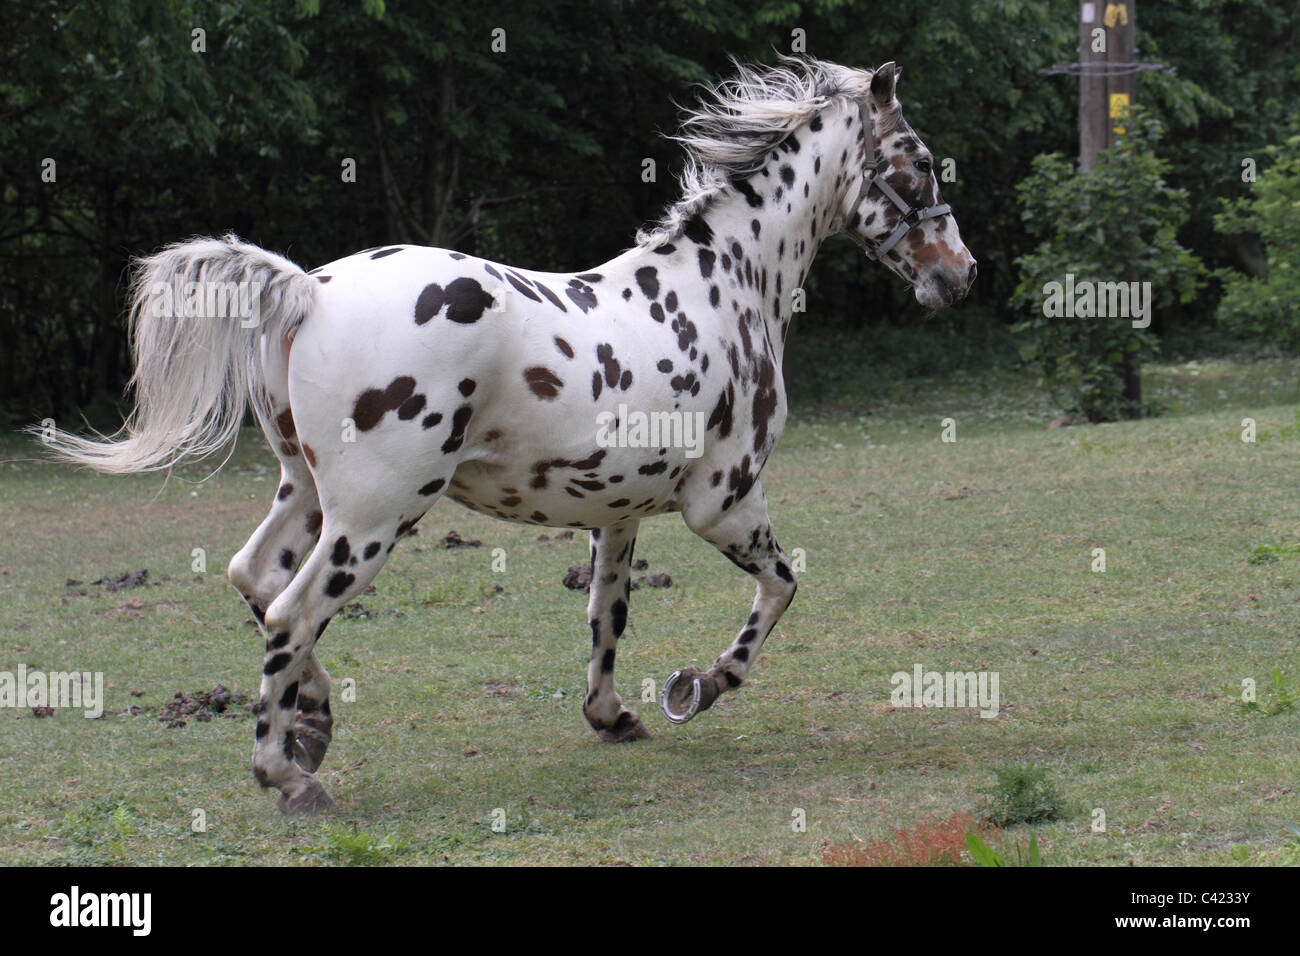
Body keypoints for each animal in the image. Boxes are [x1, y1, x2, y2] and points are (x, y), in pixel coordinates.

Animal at [39, 56, 976, 812]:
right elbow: (779, 592)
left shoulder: (618, 514)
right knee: (292, 611)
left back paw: (313, 723)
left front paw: (614, 716)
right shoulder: (725, 502)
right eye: (922, 161)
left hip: (304, 493)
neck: (726, 287)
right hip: (374, 518)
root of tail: (310, 289)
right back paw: (288, 773)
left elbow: (607, 615)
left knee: (254, 579)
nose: (960, 275)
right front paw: (697, 687)